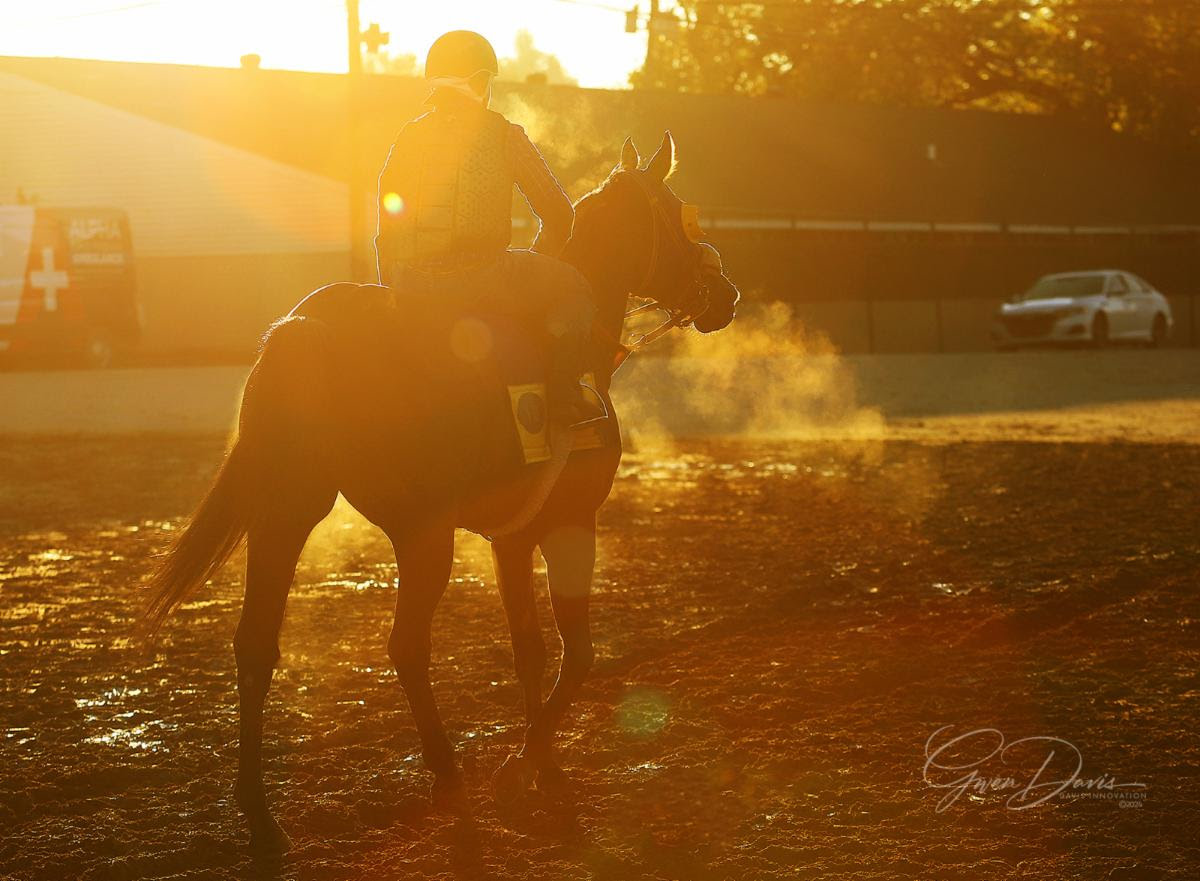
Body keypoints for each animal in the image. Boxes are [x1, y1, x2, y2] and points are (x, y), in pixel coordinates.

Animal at [143, 131, 739, 852]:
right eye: (680, 214)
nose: (727, 294)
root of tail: (306, 327)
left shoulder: (512, 540)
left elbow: (529, 650)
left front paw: (546, 767)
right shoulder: (573, 523)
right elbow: (579, 655)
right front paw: (521, 770)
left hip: (287, 511)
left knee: (256, 644)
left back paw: (261, 816)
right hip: (421, 533)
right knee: (406, 646)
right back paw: (448, 775)